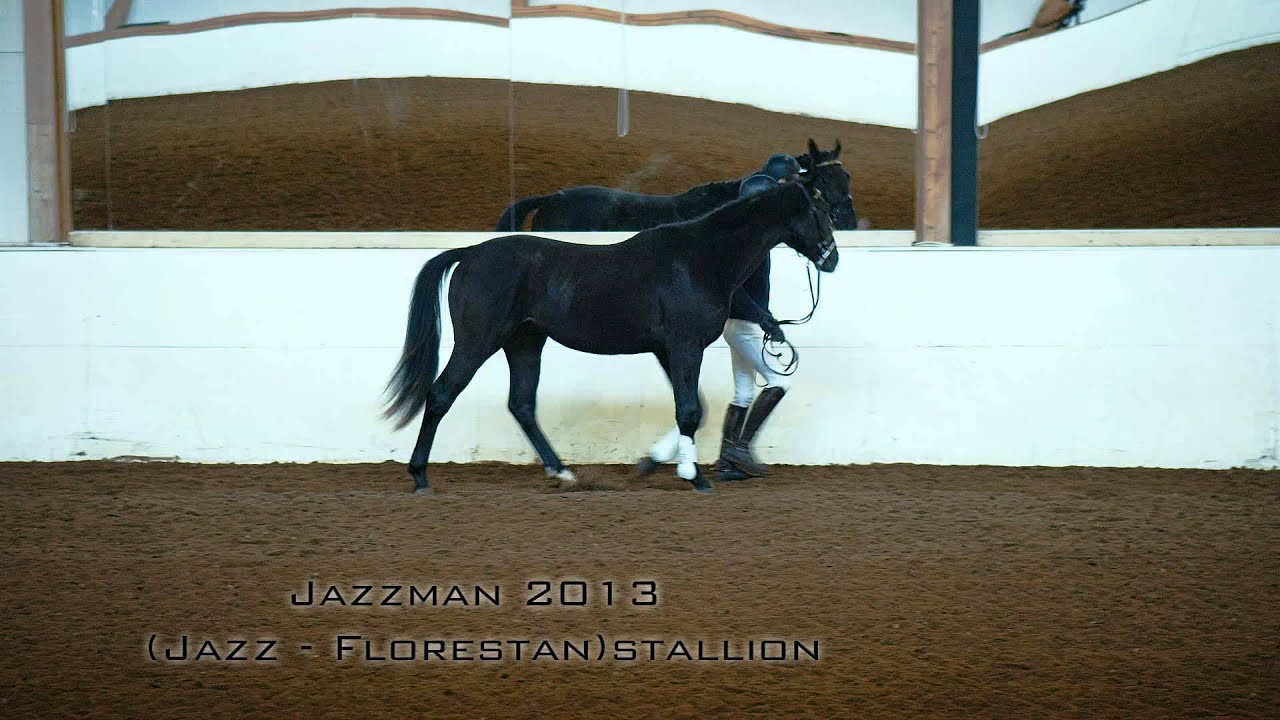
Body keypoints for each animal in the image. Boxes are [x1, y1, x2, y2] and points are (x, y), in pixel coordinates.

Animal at [384, 180, 839, 494]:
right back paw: (420, 476)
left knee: (522, 405)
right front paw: (693, 477)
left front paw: (656, 462)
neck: (701, 259)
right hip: (478, 341)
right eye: (820, 210)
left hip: (525, 342)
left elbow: (693, 409)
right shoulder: (685, 346)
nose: (831, 258)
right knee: (441, 395)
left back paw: (563, 472)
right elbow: (691, 411)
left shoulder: (667, 350)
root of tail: (470, 253)